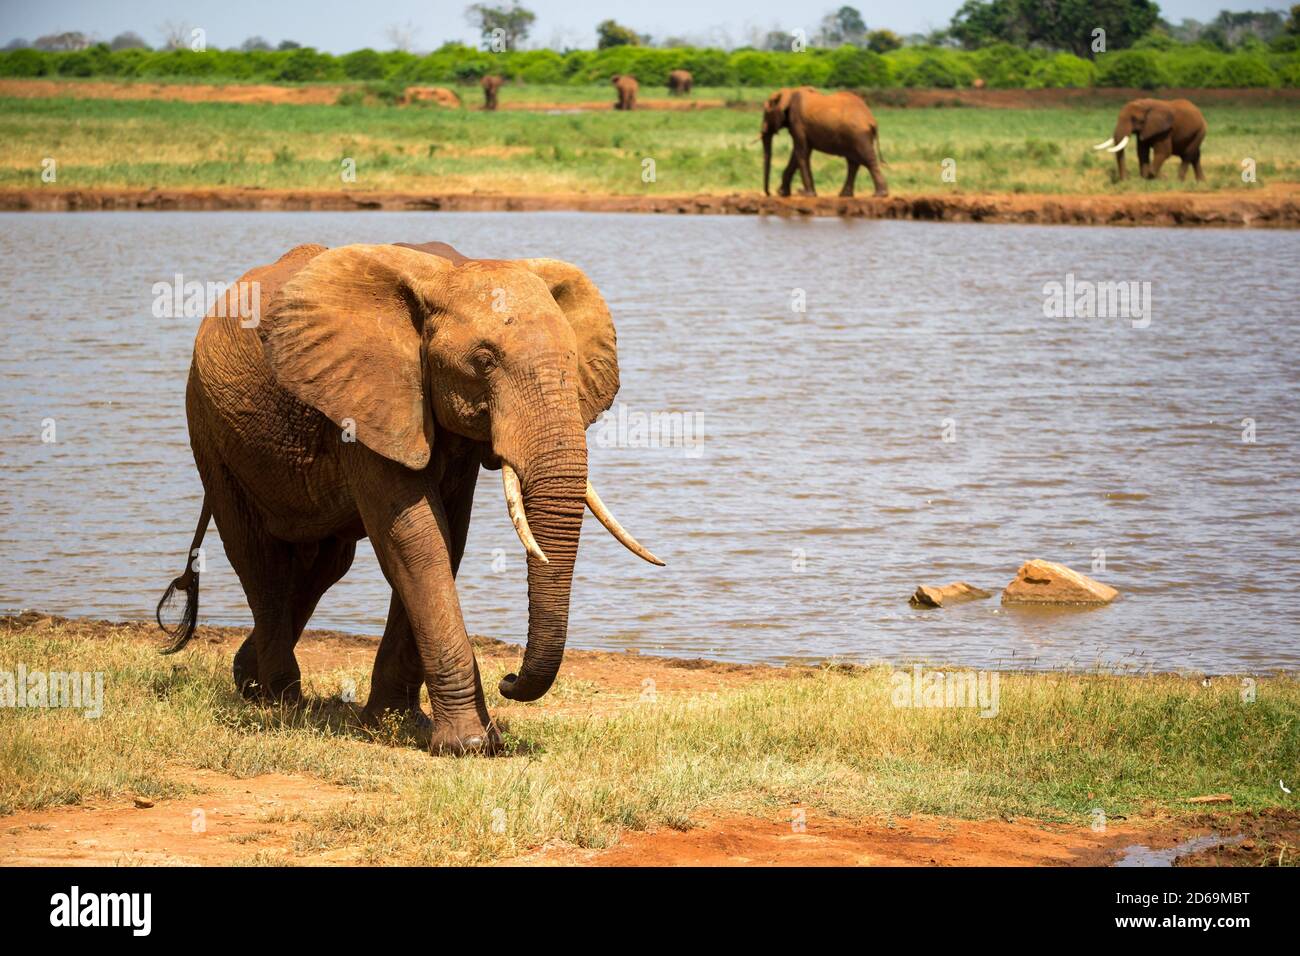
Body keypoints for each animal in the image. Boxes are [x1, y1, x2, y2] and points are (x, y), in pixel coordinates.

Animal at [155, 241, 663, 756]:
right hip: (210, 428)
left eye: (572, 361)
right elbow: (417, 541)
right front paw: (468, 745)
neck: (450, 274)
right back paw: (280, 702)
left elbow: (446, 538)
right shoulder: (367, 398)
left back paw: (249, 680)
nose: (509, 678)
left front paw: (399, 723)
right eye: (483, 361)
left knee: (323, 565)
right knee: (259, 559)